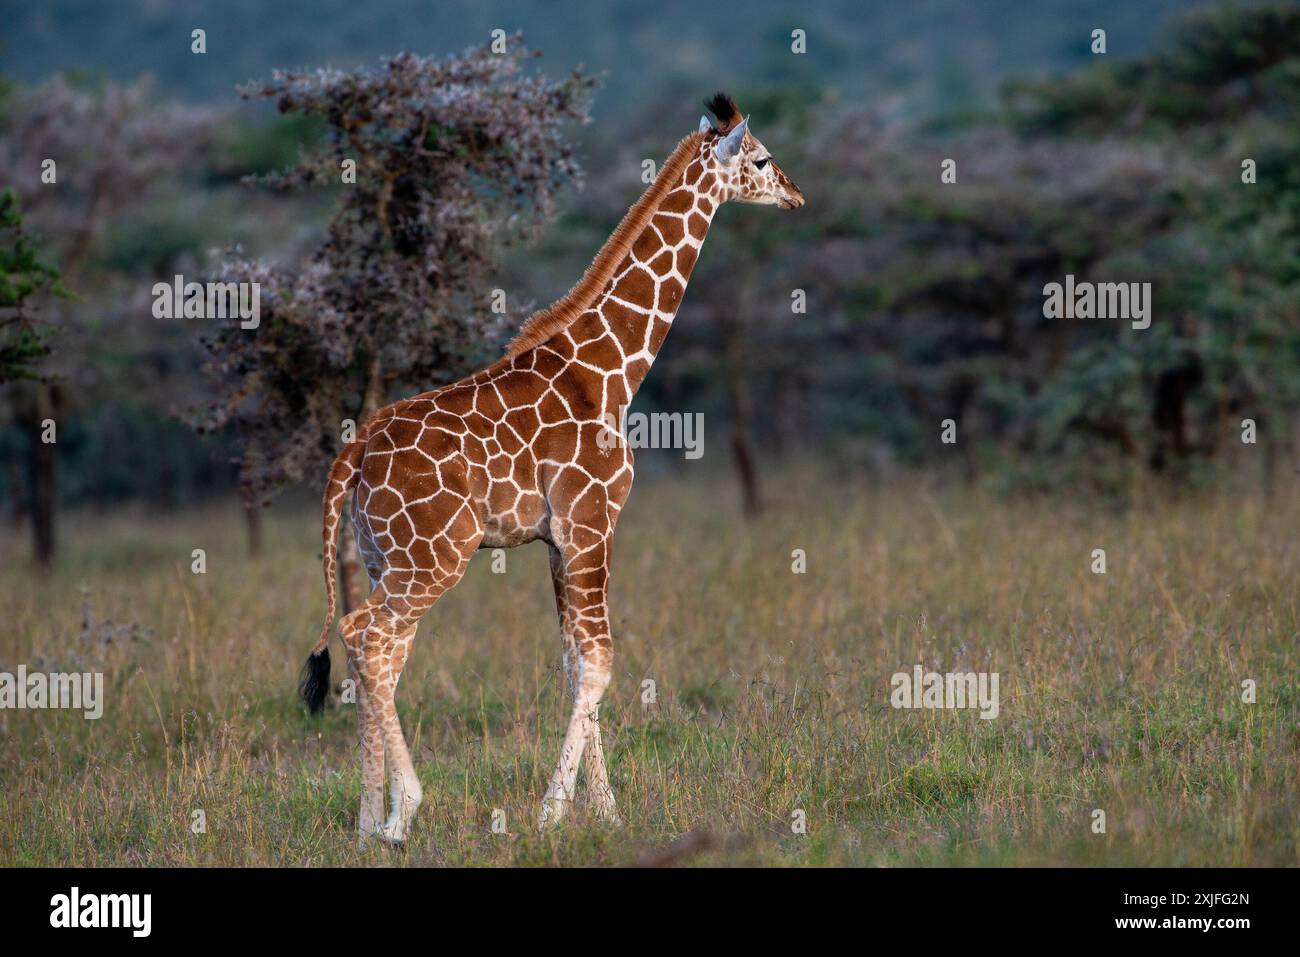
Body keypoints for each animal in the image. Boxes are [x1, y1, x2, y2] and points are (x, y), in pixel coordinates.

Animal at [298, 93, 804, 843]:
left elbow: (573, 664)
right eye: (763, 159)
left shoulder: (558, 539)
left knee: (379, 652)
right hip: (433, 556)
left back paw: (370, 823)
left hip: (385, 555)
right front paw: (552, 812)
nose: (797, 195)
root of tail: (354, 452)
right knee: (368, 636)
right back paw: (402, 810)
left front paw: (607, 811)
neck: (610, 370)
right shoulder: (594, 522)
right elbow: (599, 664)